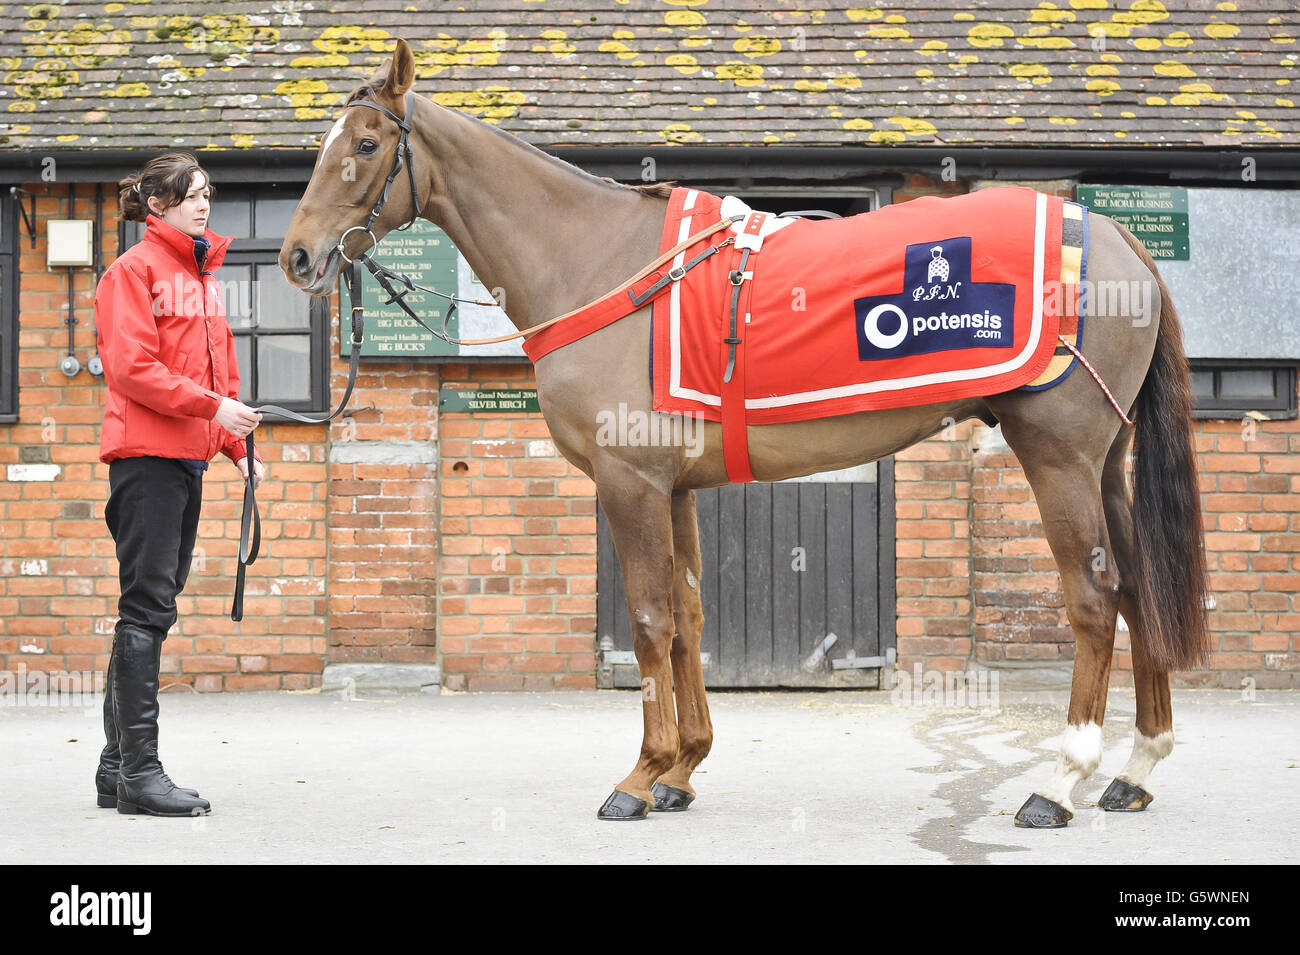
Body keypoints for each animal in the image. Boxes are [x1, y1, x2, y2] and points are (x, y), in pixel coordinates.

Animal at [279, 39, 1208, 827]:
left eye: (366, 143)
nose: (297, 257)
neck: (604, 265)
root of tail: (1120, 240)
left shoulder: (630, 482)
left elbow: (650, 617)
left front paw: (639, 775)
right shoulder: (677, 488)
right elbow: (689, 615)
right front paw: (683, 767)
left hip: (1059, 456)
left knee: (1095, 599)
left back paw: (1060, 781)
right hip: (1107, 462)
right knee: (1137, 589)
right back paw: (1136, 768)